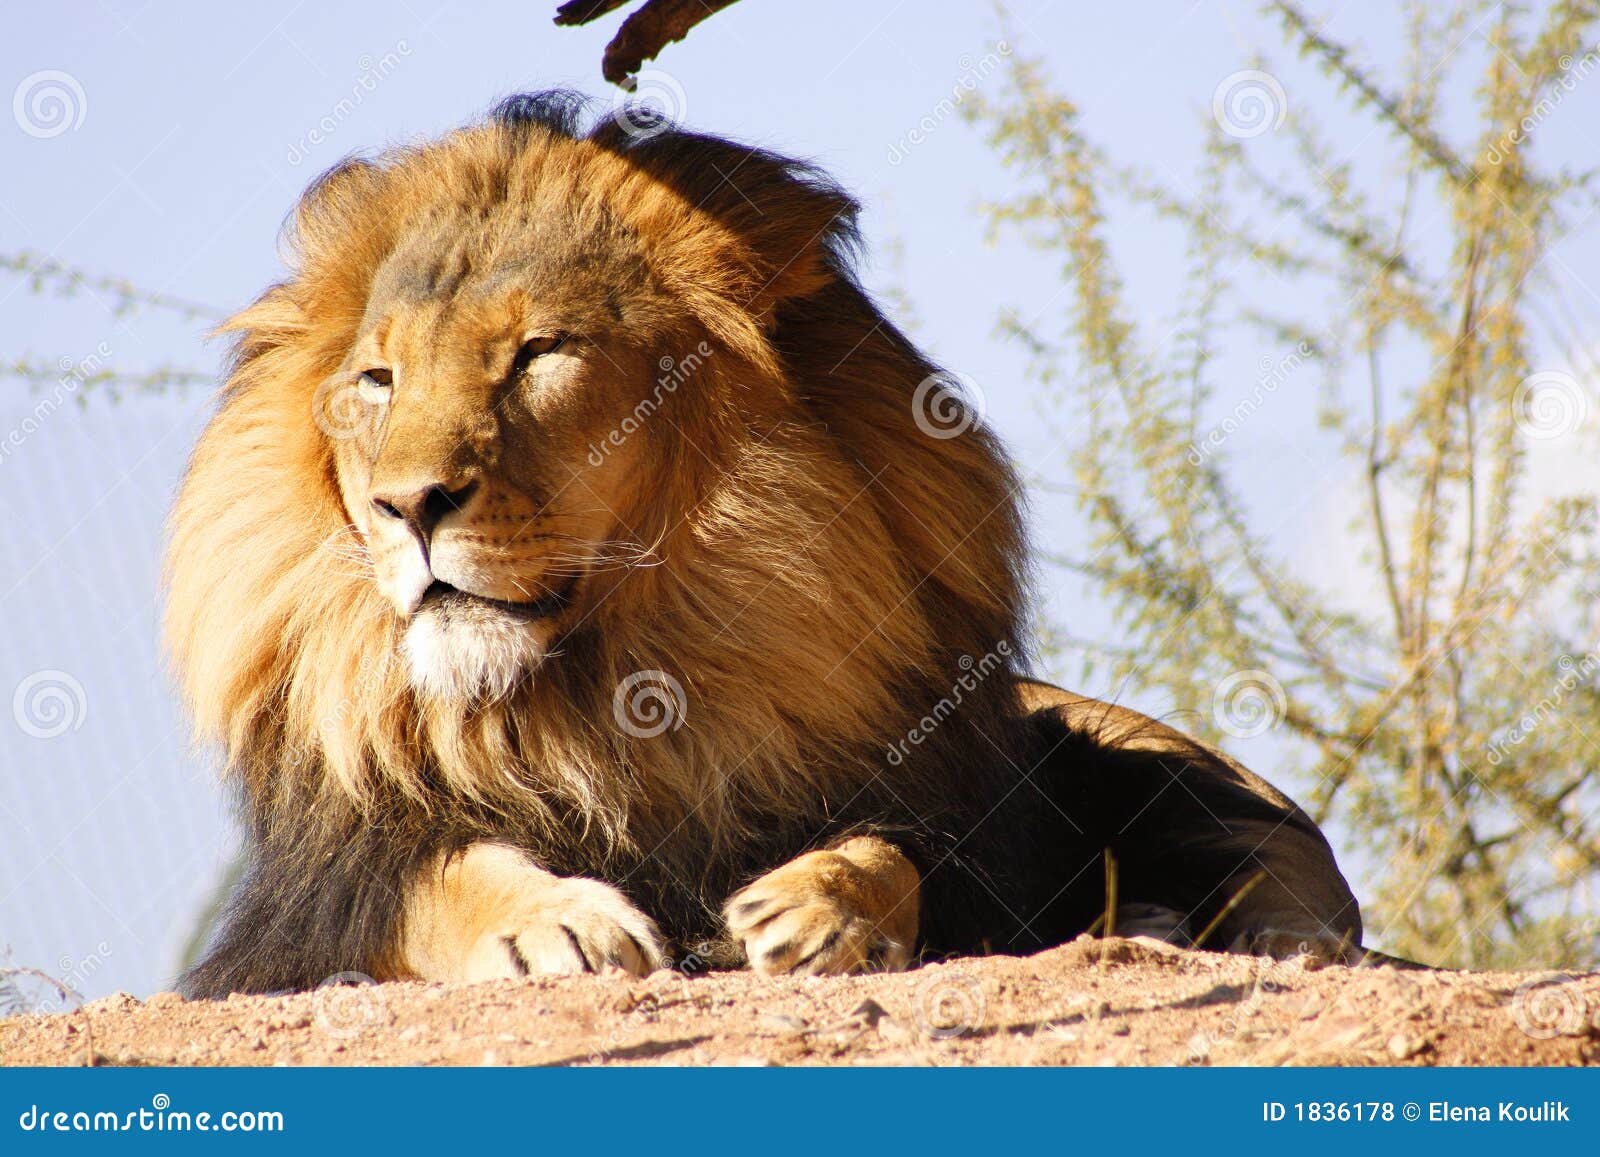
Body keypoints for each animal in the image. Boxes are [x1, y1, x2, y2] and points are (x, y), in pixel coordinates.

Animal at [167, 92, 1364, 997]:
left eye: (540, 353)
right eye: (379, 378)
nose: (408, 504)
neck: (599, 696)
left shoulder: (974, 844)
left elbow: (896, 853)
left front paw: (817, 904)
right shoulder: (299, 918)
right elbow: (436, 877)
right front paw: (556, 923)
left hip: (1143, 748)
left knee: (1298, 866)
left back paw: (1236, 929)